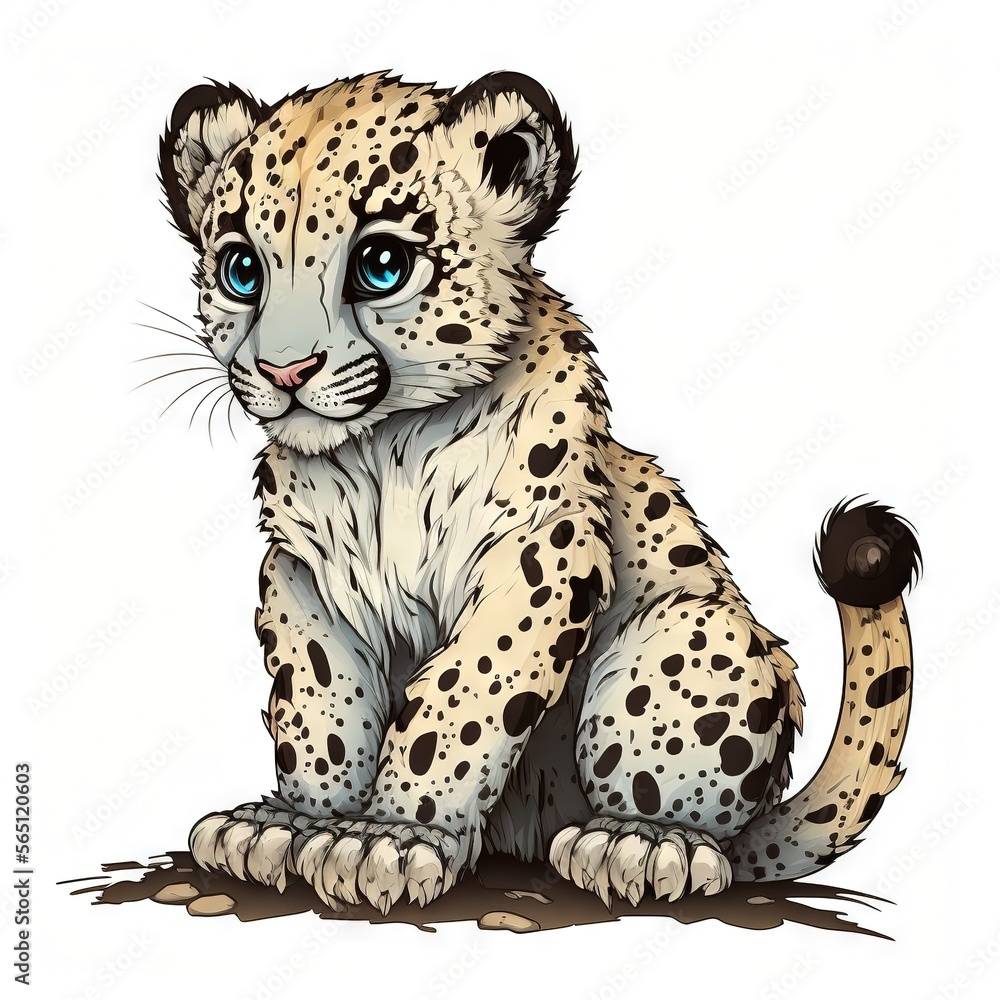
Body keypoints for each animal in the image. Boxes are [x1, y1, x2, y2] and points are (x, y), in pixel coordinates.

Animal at [157, 70, 920, 915]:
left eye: (381, 262)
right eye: (241, 270)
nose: (285, 371)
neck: (378, 454)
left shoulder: (539, 552)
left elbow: (457, 698)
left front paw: (391, 838)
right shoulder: (300, 572)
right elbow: (319, 700)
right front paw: (294, 824)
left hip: (691, 631)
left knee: (705, 824)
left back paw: (641, 843)